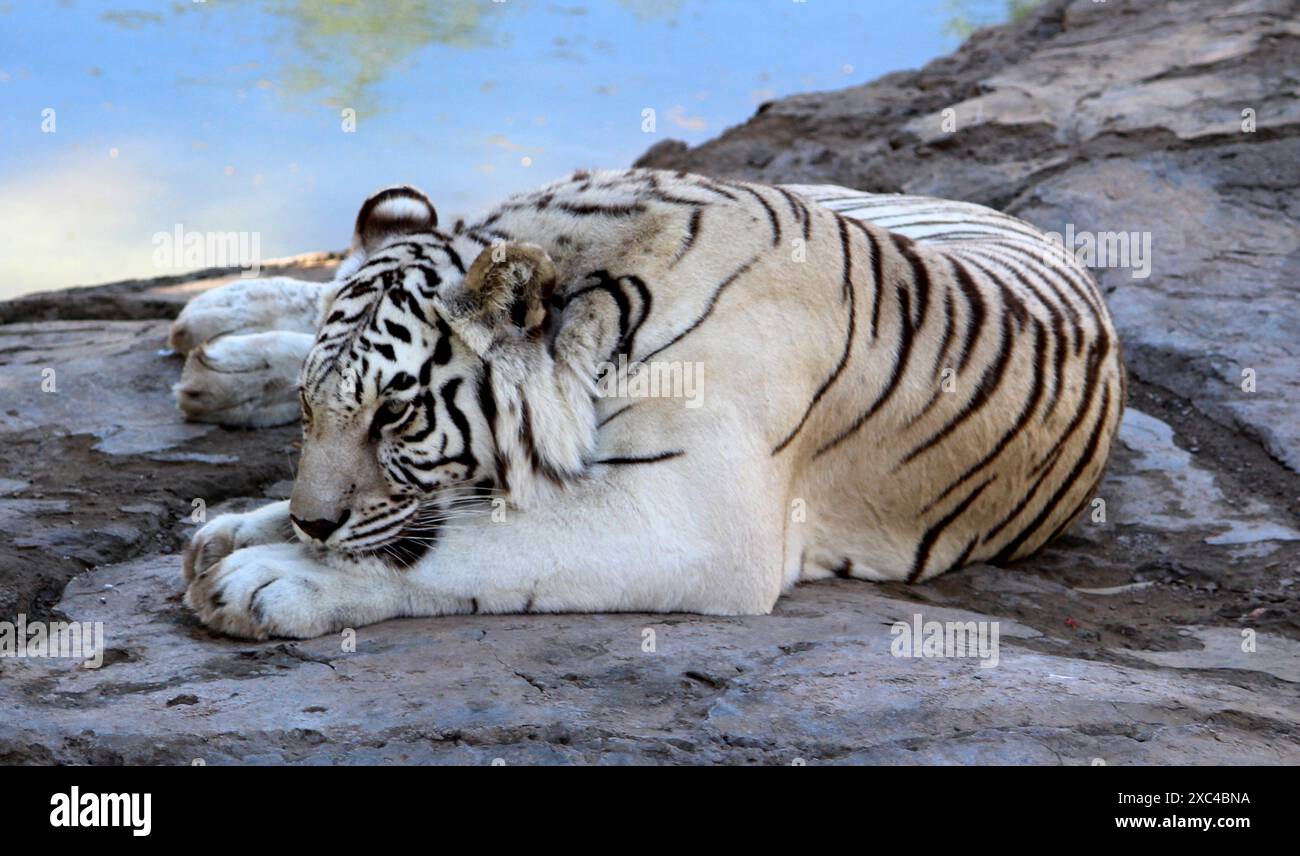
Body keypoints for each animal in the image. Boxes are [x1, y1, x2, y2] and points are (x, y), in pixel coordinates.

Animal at [173, 168, 1125, 640]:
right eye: (312, 414)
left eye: (395, 415)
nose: (311, 521)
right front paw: (246, 527)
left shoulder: (688, 518)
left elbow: (463, 545)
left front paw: (258, 571)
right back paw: (213, 334)